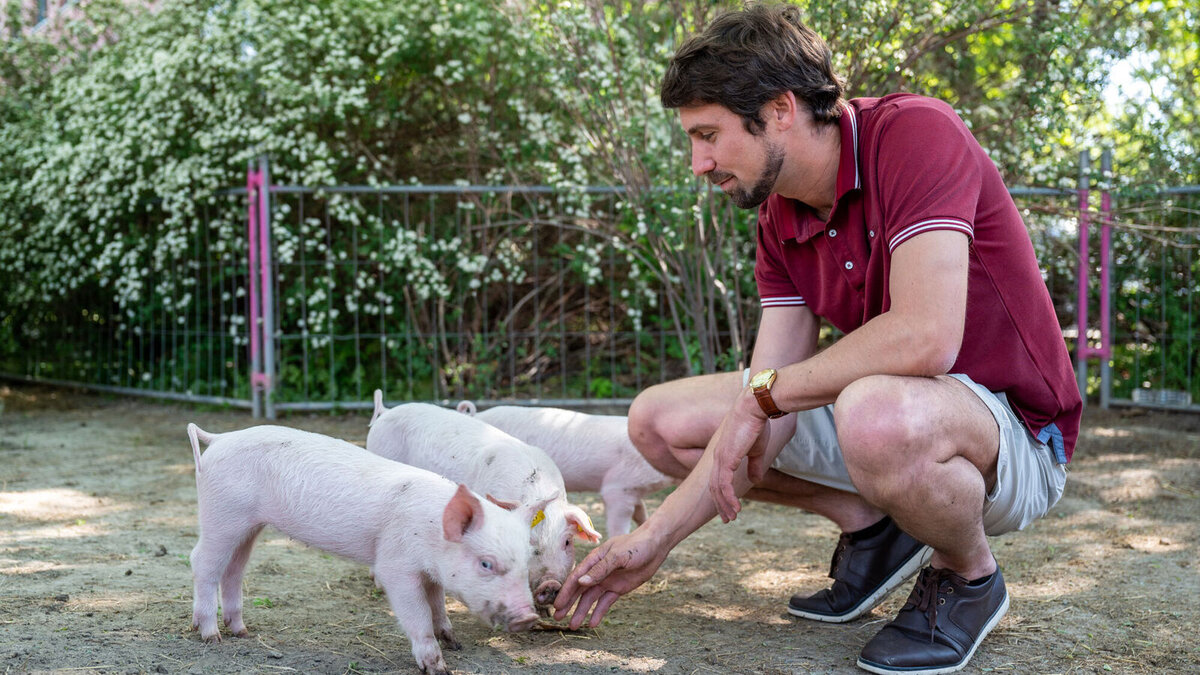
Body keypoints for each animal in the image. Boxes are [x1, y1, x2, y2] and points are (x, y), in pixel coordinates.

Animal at [186, 423, 540, 675]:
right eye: (486, 564)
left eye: (527, 560)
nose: (529, 616)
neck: (431, 531)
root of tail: (219, 438)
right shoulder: (396, 566)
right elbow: (418, 613)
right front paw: (439, 668)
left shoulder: (432, 571)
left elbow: (438, 603)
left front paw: (455, 644)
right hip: (222, 514)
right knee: (201, 561)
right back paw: (211, 635)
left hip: (249, 525)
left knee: (234, 569)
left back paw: (242, 632)